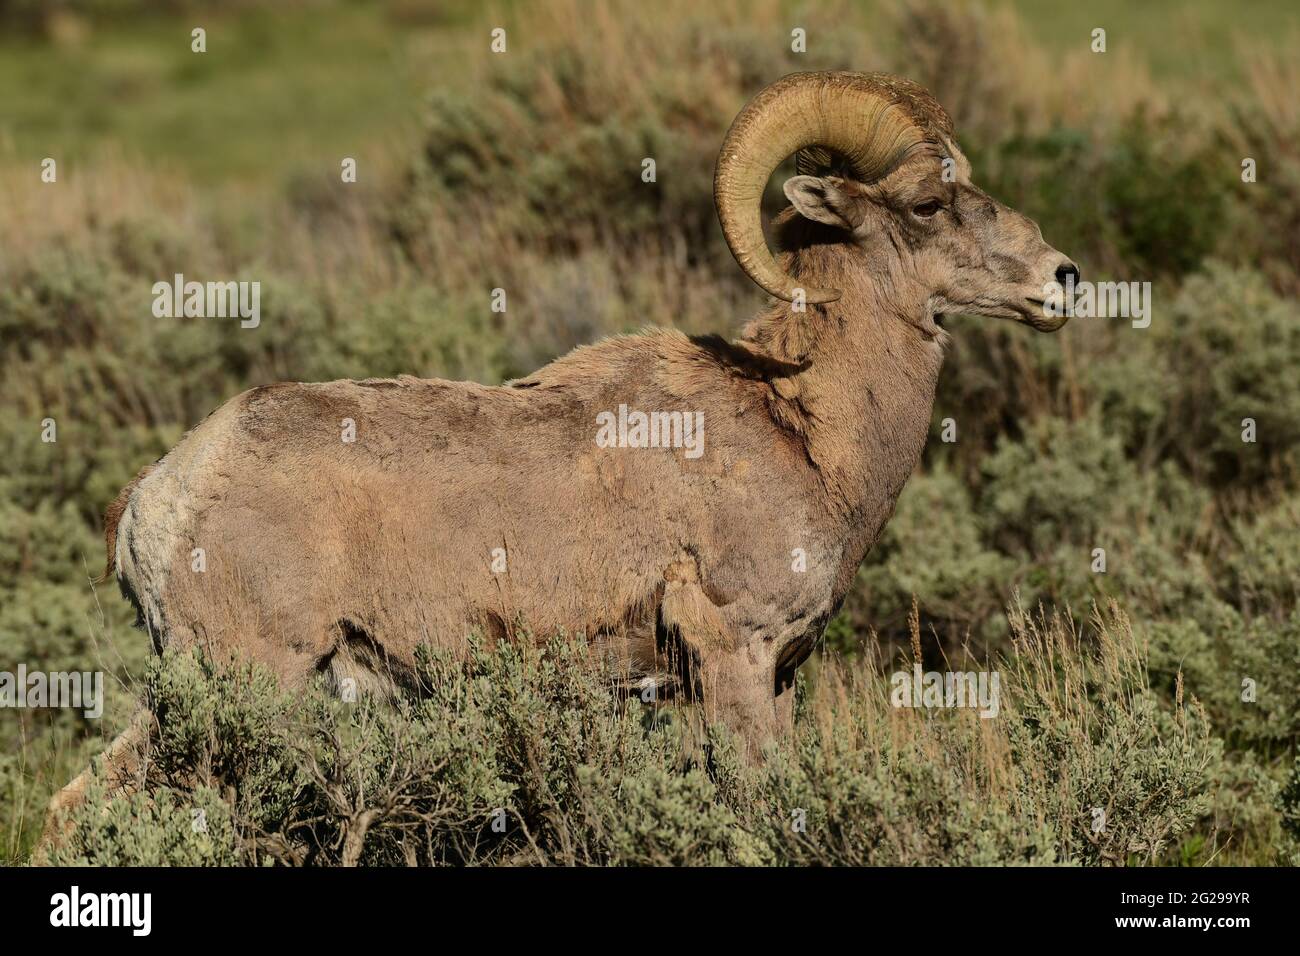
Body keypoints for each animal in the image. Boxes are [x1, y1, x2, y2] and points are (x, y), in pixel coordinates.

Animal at [43, 71, 1077, 843]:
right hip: (240, 680)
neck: (802, 428)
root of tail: (158, 497)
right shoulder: (732, 656)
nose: (1061, 279)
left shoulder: (780, 674)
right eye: (928, 203)